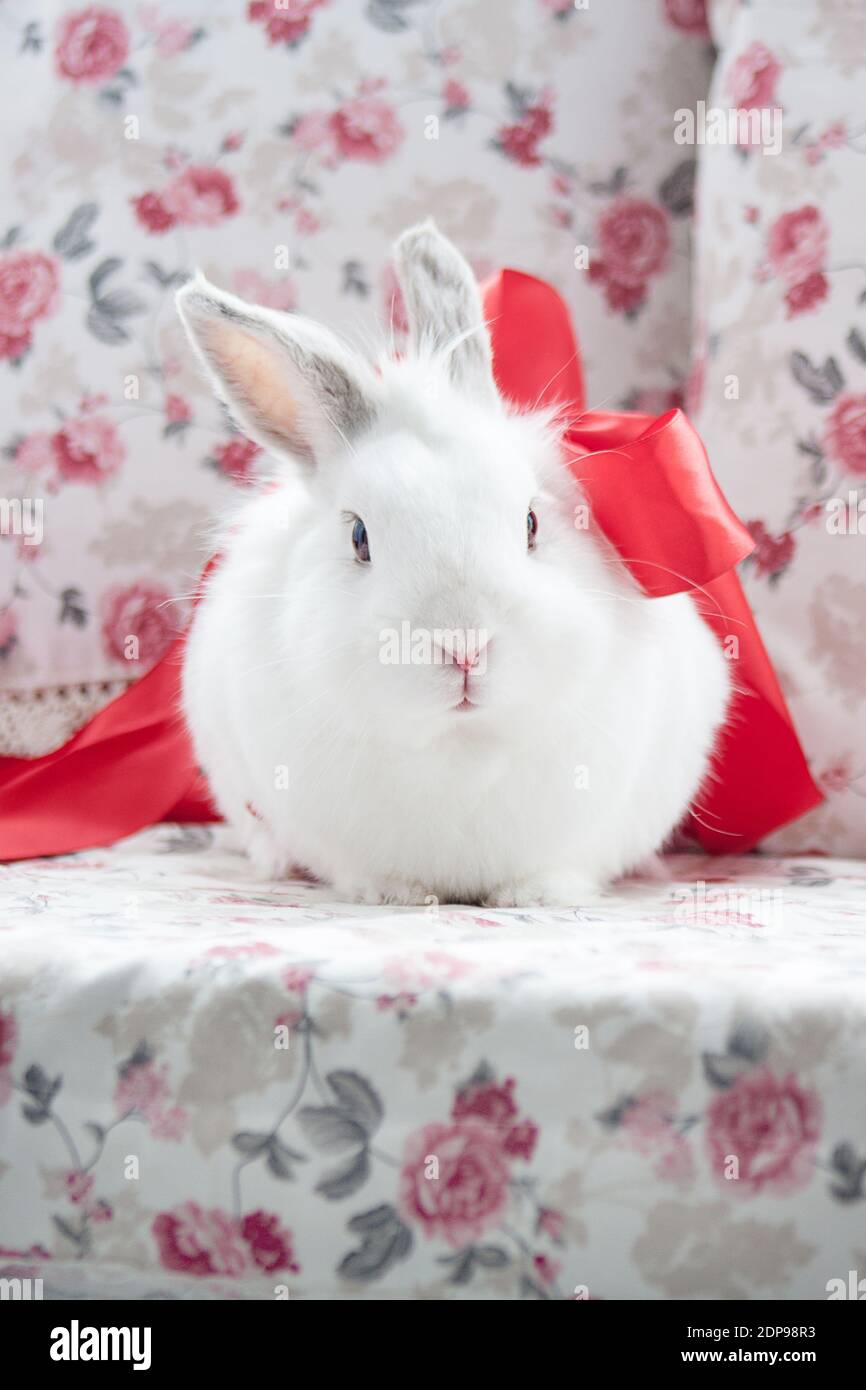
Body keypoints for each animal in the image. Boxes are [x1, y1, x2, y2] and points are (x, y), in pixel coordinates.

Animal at [176, 220, 730, 906]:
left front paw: (534, 897)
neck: (463, 746)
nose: (464, 647)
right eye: (359, 536)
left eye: (531, 523)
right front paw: (395, 895)